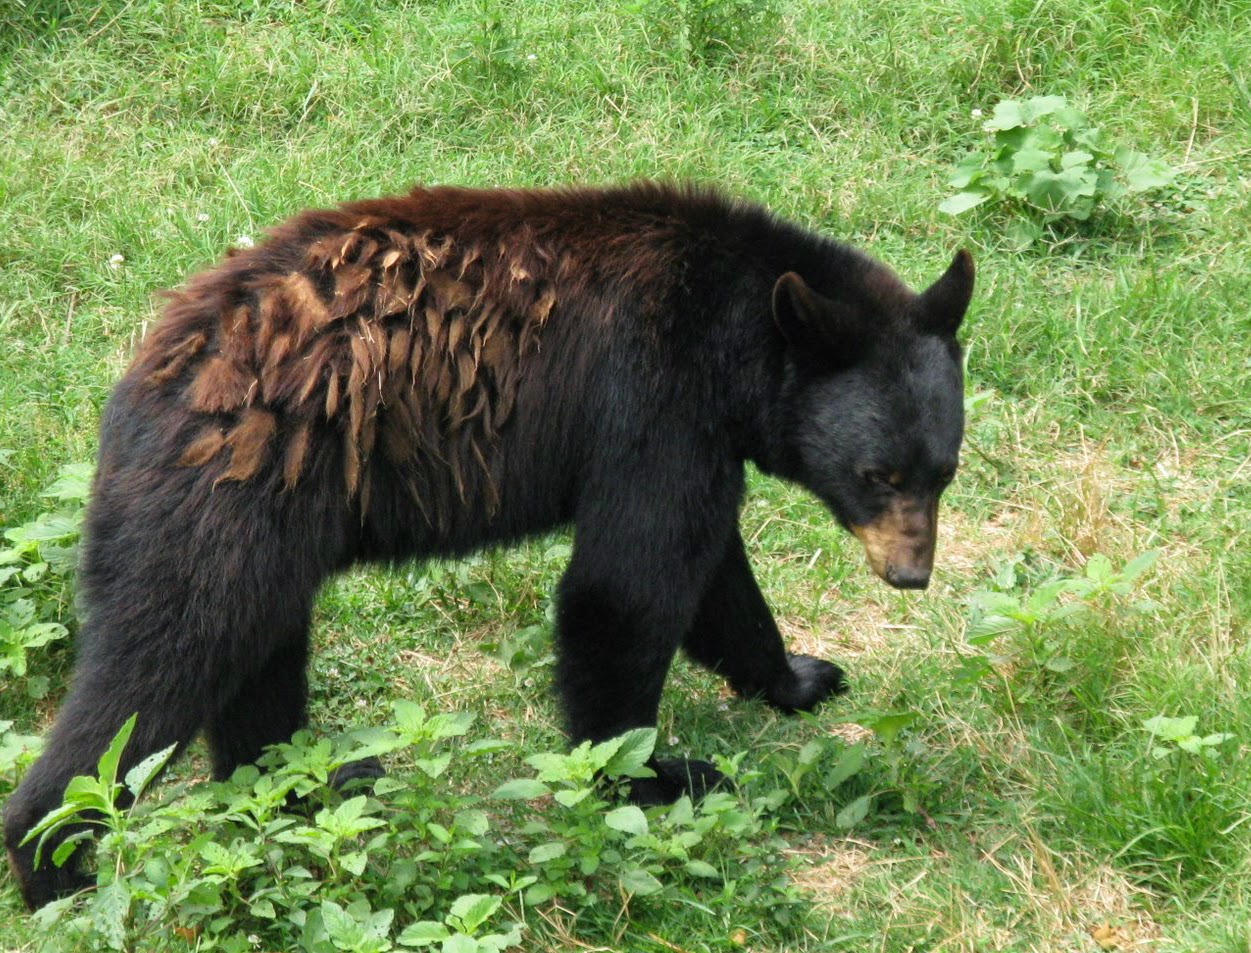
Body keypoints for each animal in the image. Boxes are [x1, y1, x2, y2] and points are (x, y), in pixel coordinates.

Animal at [4, 183, 972, 909]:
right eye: (878, 473)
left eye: (943, 469)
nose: (910, 573)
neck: (726, 323)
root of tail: (146, 375)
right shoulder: (650, 401)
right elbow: (625, 590)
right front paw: (650, 775)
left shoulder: (695, 431)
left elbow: (712, 577)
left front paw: (799, 674)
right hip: (230, 499)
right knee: (163, 658)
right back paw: (59, 873)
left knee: (258, 666)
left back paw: (308, 795)